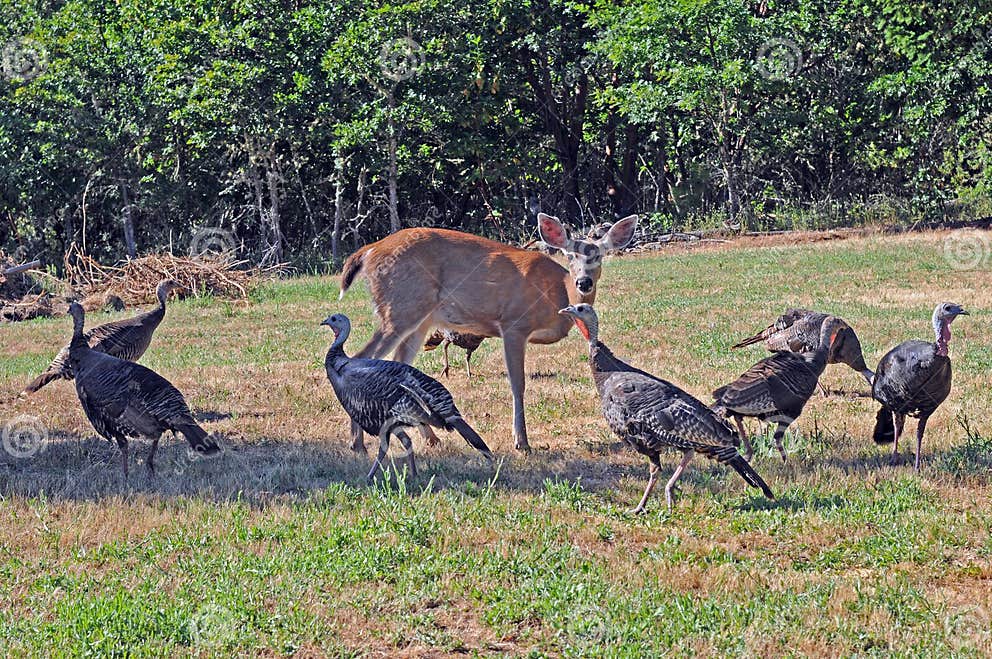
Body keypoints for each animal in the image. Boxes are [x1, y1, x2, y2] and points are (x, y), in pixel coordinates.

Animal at [337, 213, 637, 452]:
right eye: (570, 254)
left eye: (599, 255)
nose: (584, 282)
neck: (557, 296)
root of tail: (369, 251)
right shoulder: (514, 324)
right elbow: (518, 383)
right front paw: (522, 442)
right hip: (400, 308)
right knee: (360, 357)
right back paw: (357, 442)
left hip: (418, 319)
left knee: (399, 365)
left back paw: (431, 438)